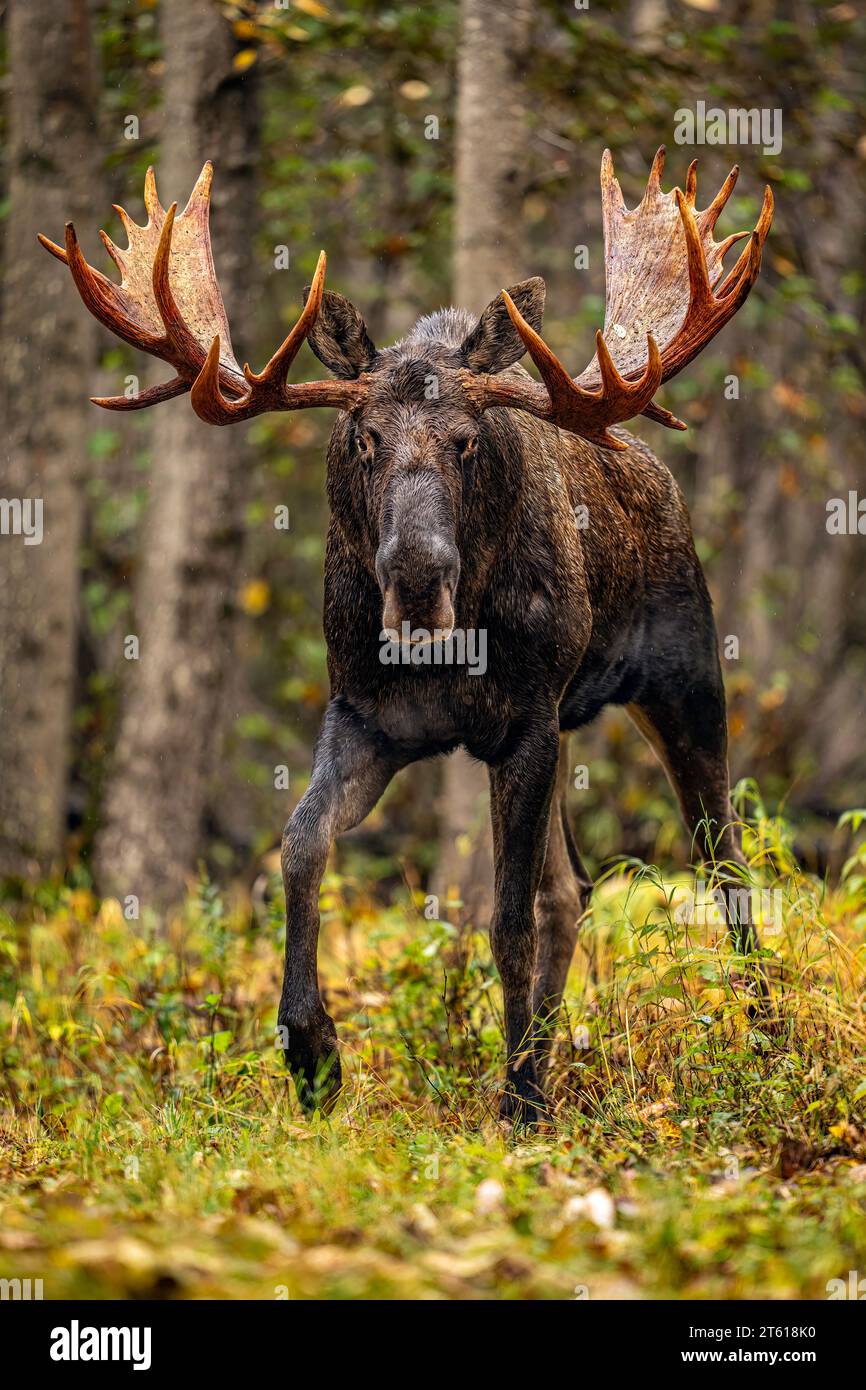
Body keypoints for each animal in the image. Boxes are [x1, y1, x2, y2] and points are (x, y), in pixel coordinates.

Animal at [40, 147, 773, 1124]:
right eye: (365, 438)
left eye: (466, 440)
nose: (419, 578)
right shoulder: (366, 717)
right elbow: (299, 844)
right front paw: (313, 1051)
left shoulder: (526, 721)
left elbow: (506, 919)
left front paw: (515, 1105)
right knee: (575, 885)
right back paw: (551, 1061)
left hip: (683, 676)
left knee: (725, 867)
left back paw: (762, 1038)